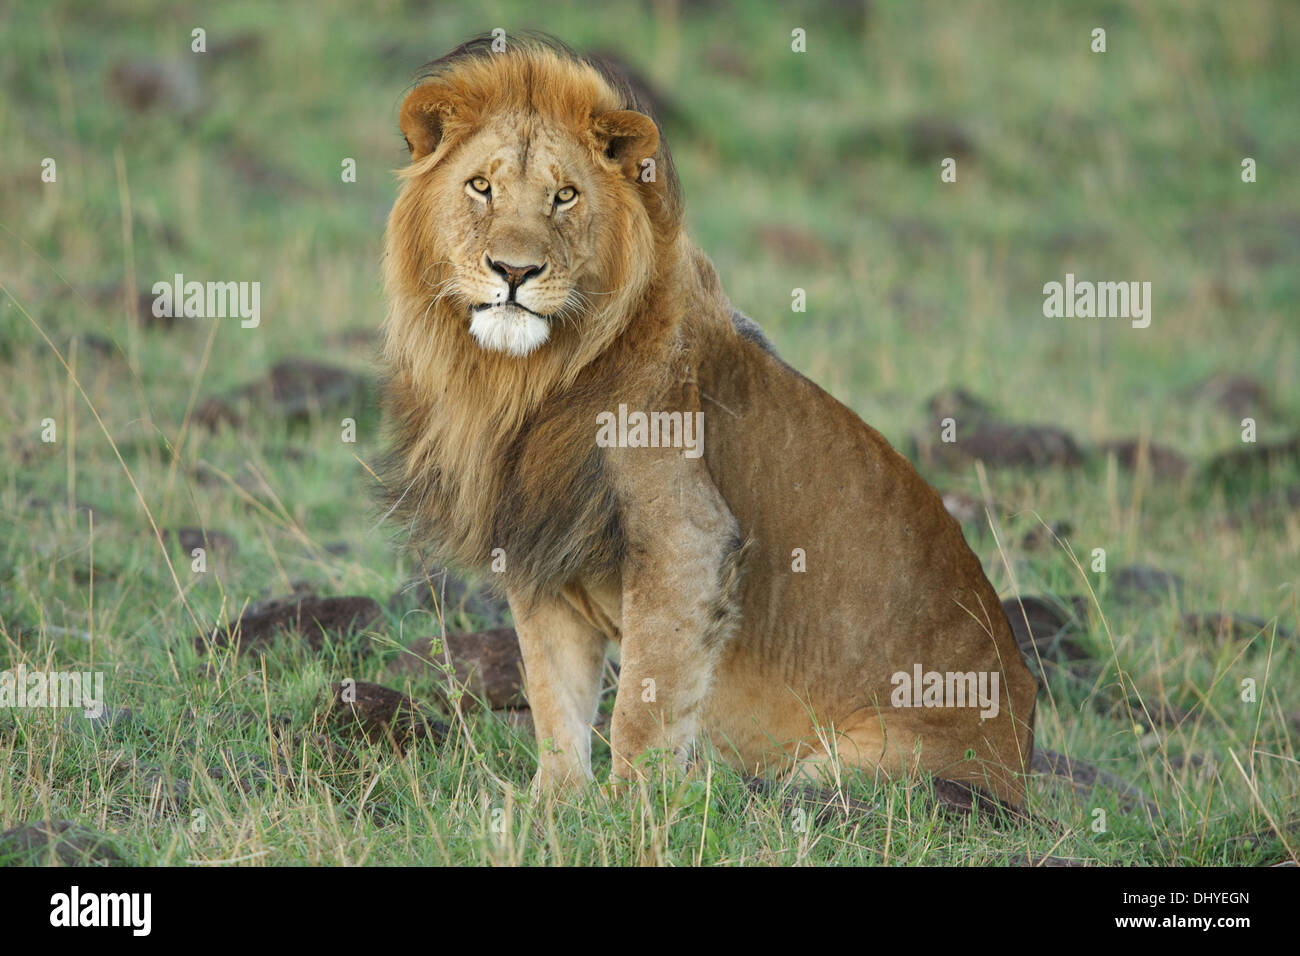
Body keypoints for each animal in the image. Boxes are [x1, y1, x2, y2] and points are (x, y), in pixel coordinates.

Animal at [379, 35, 1038, 805]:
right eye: (480, 187)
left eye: (564, 195)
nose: (513, 272)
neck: (525, 380)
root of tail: (1024, 755)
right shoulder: (543, 547)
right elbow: (554, 694)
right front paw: (554, 804)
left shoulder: (687, 539)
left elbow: (643, 701)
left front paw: (629, 809)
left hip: (844, 771)